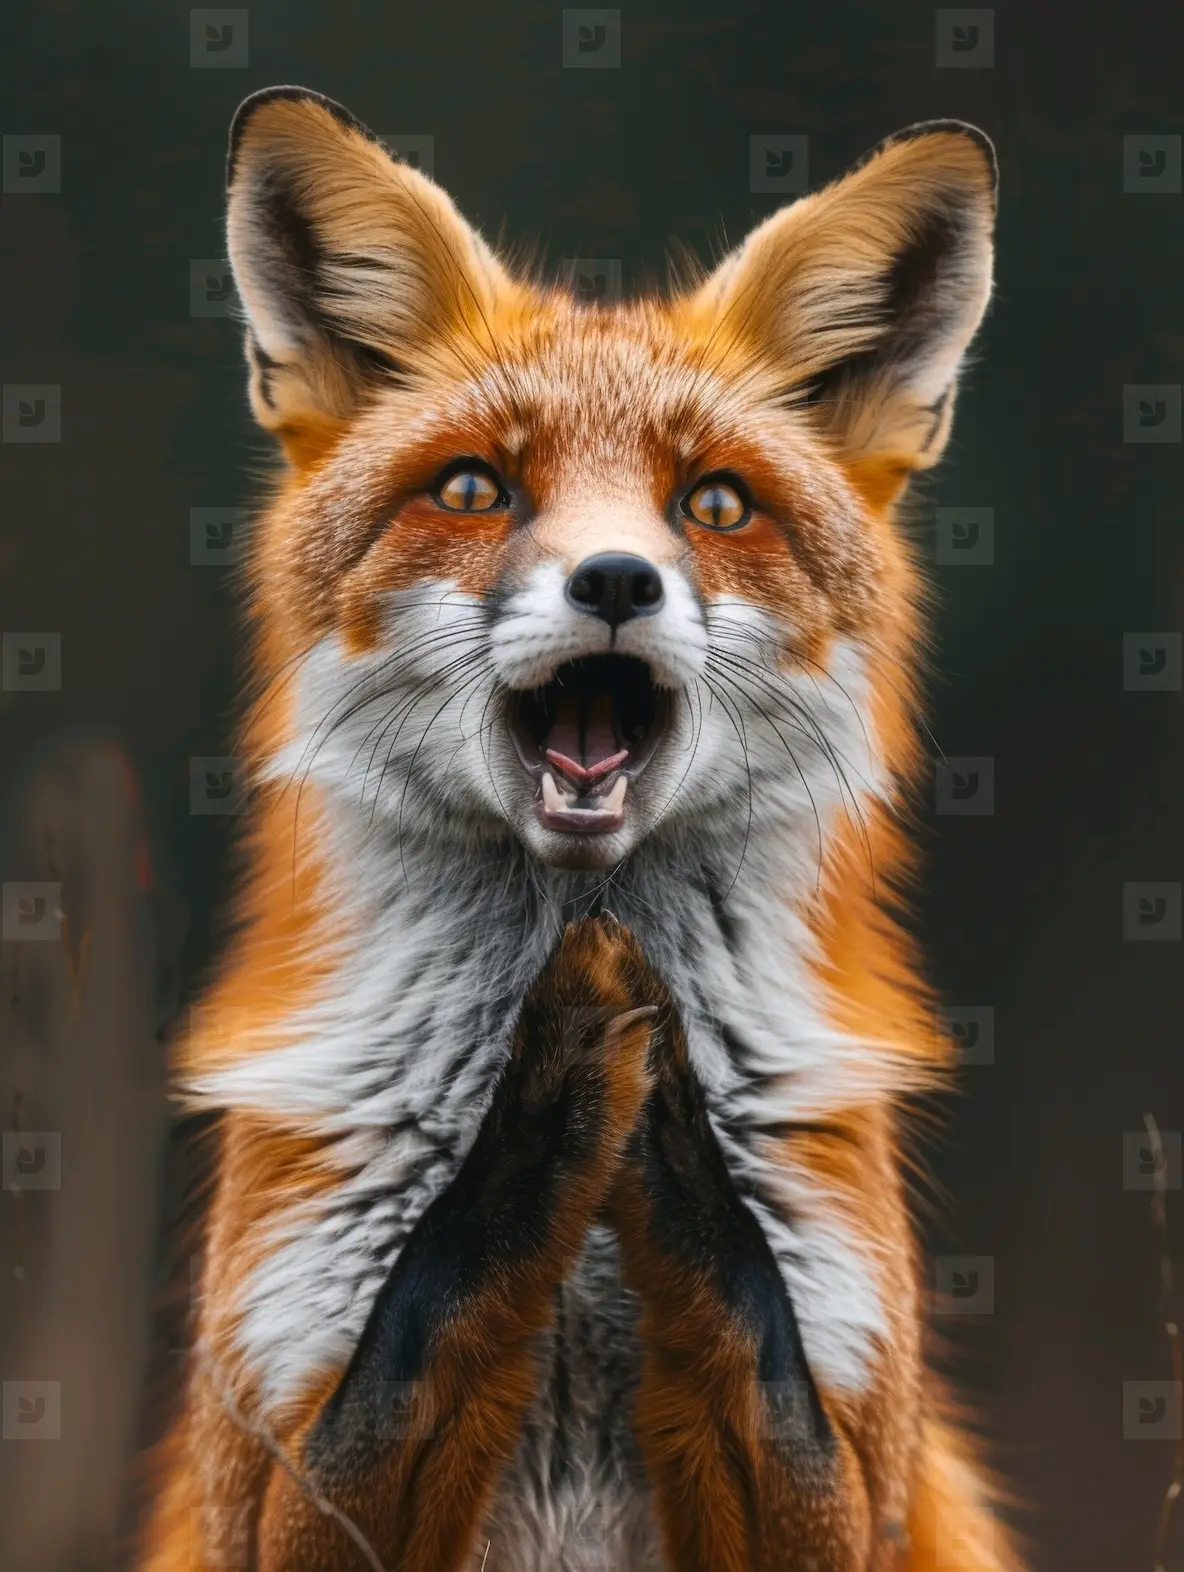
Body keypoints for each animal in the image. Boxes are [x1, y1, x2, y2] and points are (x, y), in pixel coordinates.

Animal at [136, 86, 1021, 1572]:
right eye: (473, 489)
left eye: (714, 503)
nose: (616, 579)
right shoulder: (267, 1468)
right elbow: (433, 1291)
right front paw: (556, 1094)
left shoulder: (852, 1455)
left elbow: (747, 1303)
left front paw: (659, 1106)